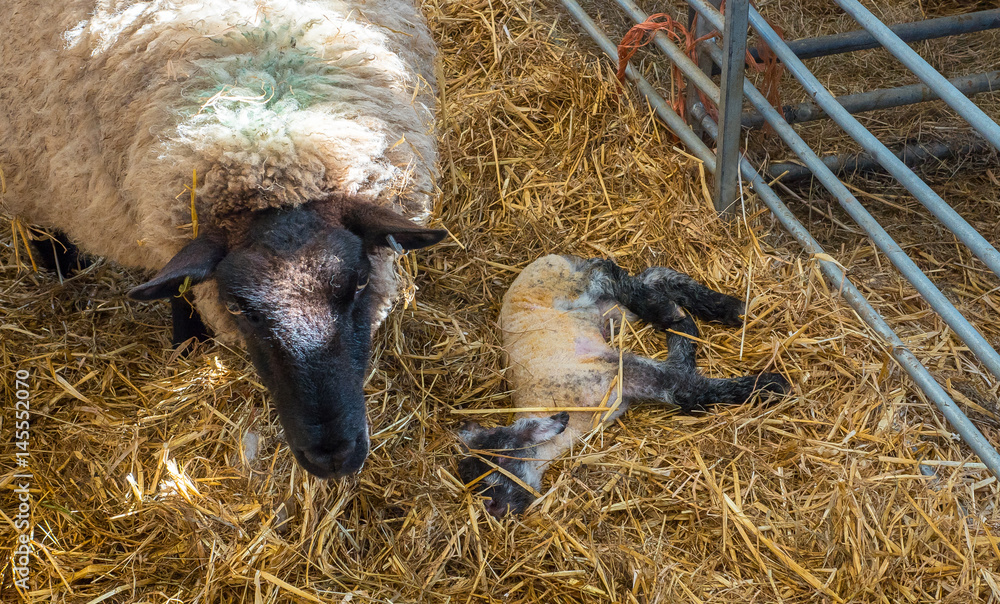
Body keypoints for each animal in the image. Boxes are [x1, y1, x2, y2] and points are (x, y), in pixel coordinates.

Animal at [0, 1, 446, 479]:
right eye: (237, 308)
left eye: (360, 283)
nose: (333, 458)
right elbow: (178, 285)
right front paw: (190, 339)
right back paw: (57, 256)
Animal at [457, 255, 789, 517]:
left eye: (497, 460)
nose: (494, 509)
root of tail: (549, 258)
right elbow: (684, 372)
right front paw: (686, 332)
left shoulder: (620, 373)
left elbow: (686, 388)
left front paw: (772, 385)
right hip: (607, 308)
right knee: (650, 277)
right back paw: (716, 308)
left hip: (574, 285)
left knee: (608, 270)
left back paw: (679, 311)